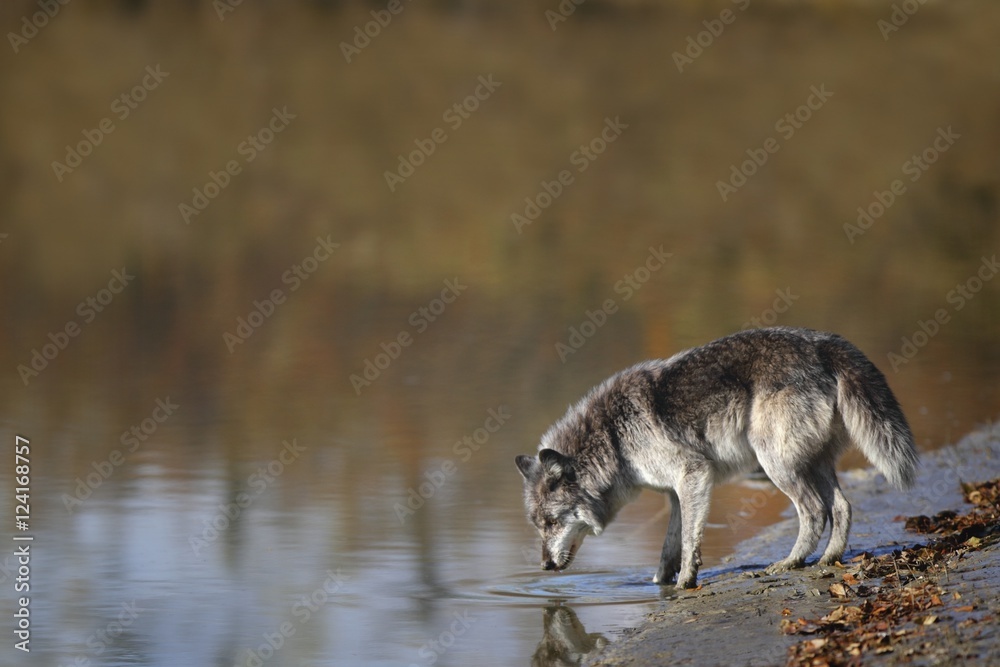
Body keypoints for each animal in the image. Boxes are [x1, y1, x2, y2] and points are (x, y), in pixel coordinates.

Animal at [515, 327, 917, 589]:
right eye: (538, 525)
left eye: (551, 523)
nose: (544, 565)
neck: (612, 436)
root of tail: (822, 344)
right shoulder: (675, 493)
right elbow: (669, 548)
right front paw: (657, 584)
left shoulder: (694, 475)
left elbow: (689, 542)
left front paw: (685, 583)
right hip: (813, 464)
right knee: (842, 507)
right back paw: (828, 559)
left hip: (776, 464)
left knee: (815, 511)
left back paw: (789, 563)